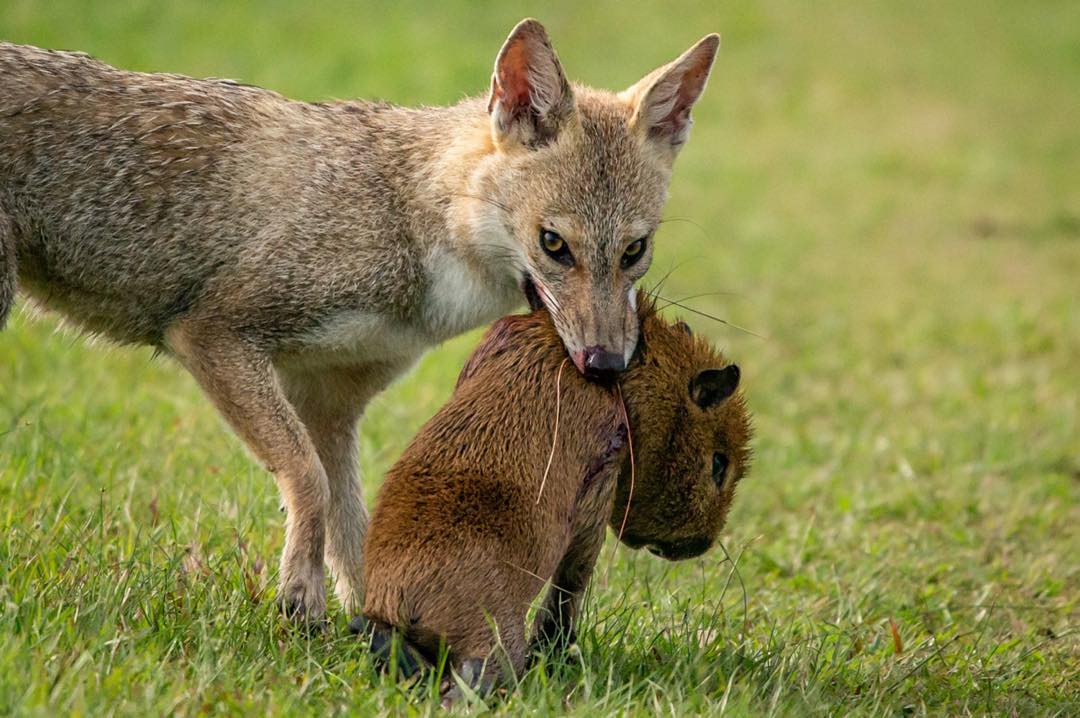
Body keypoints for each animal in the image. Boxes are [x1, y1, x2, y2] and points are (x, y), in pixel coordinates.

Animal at [0, 19, 720, 624]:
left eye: (635, 251)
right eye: (553, 245)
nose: (607, 365)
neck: (408, 214)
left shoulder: (329, 404)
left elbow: (354, 524)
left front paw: (372, 627)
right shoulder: (212, 336)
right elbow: (309, 483)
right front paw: (300, 598)